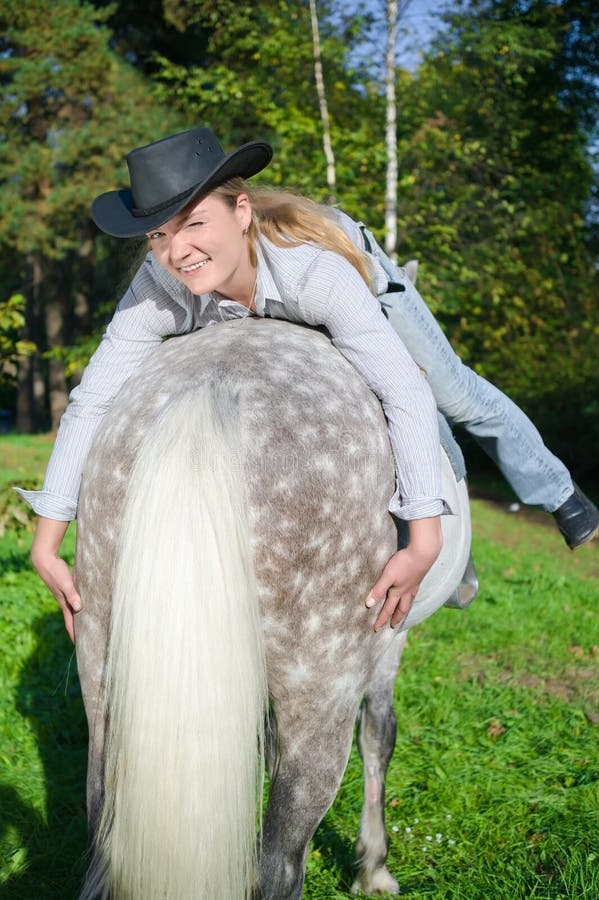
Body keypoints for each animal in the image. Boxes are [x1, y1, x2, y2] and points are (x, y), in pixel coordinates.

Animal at [73, 317, 471, 899]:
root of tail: (213, 383)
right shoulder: (390, 641)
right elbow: (380, 735)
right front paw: (373, 867)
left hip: (100, 674)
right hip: (324, 697)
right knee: (280, 867)